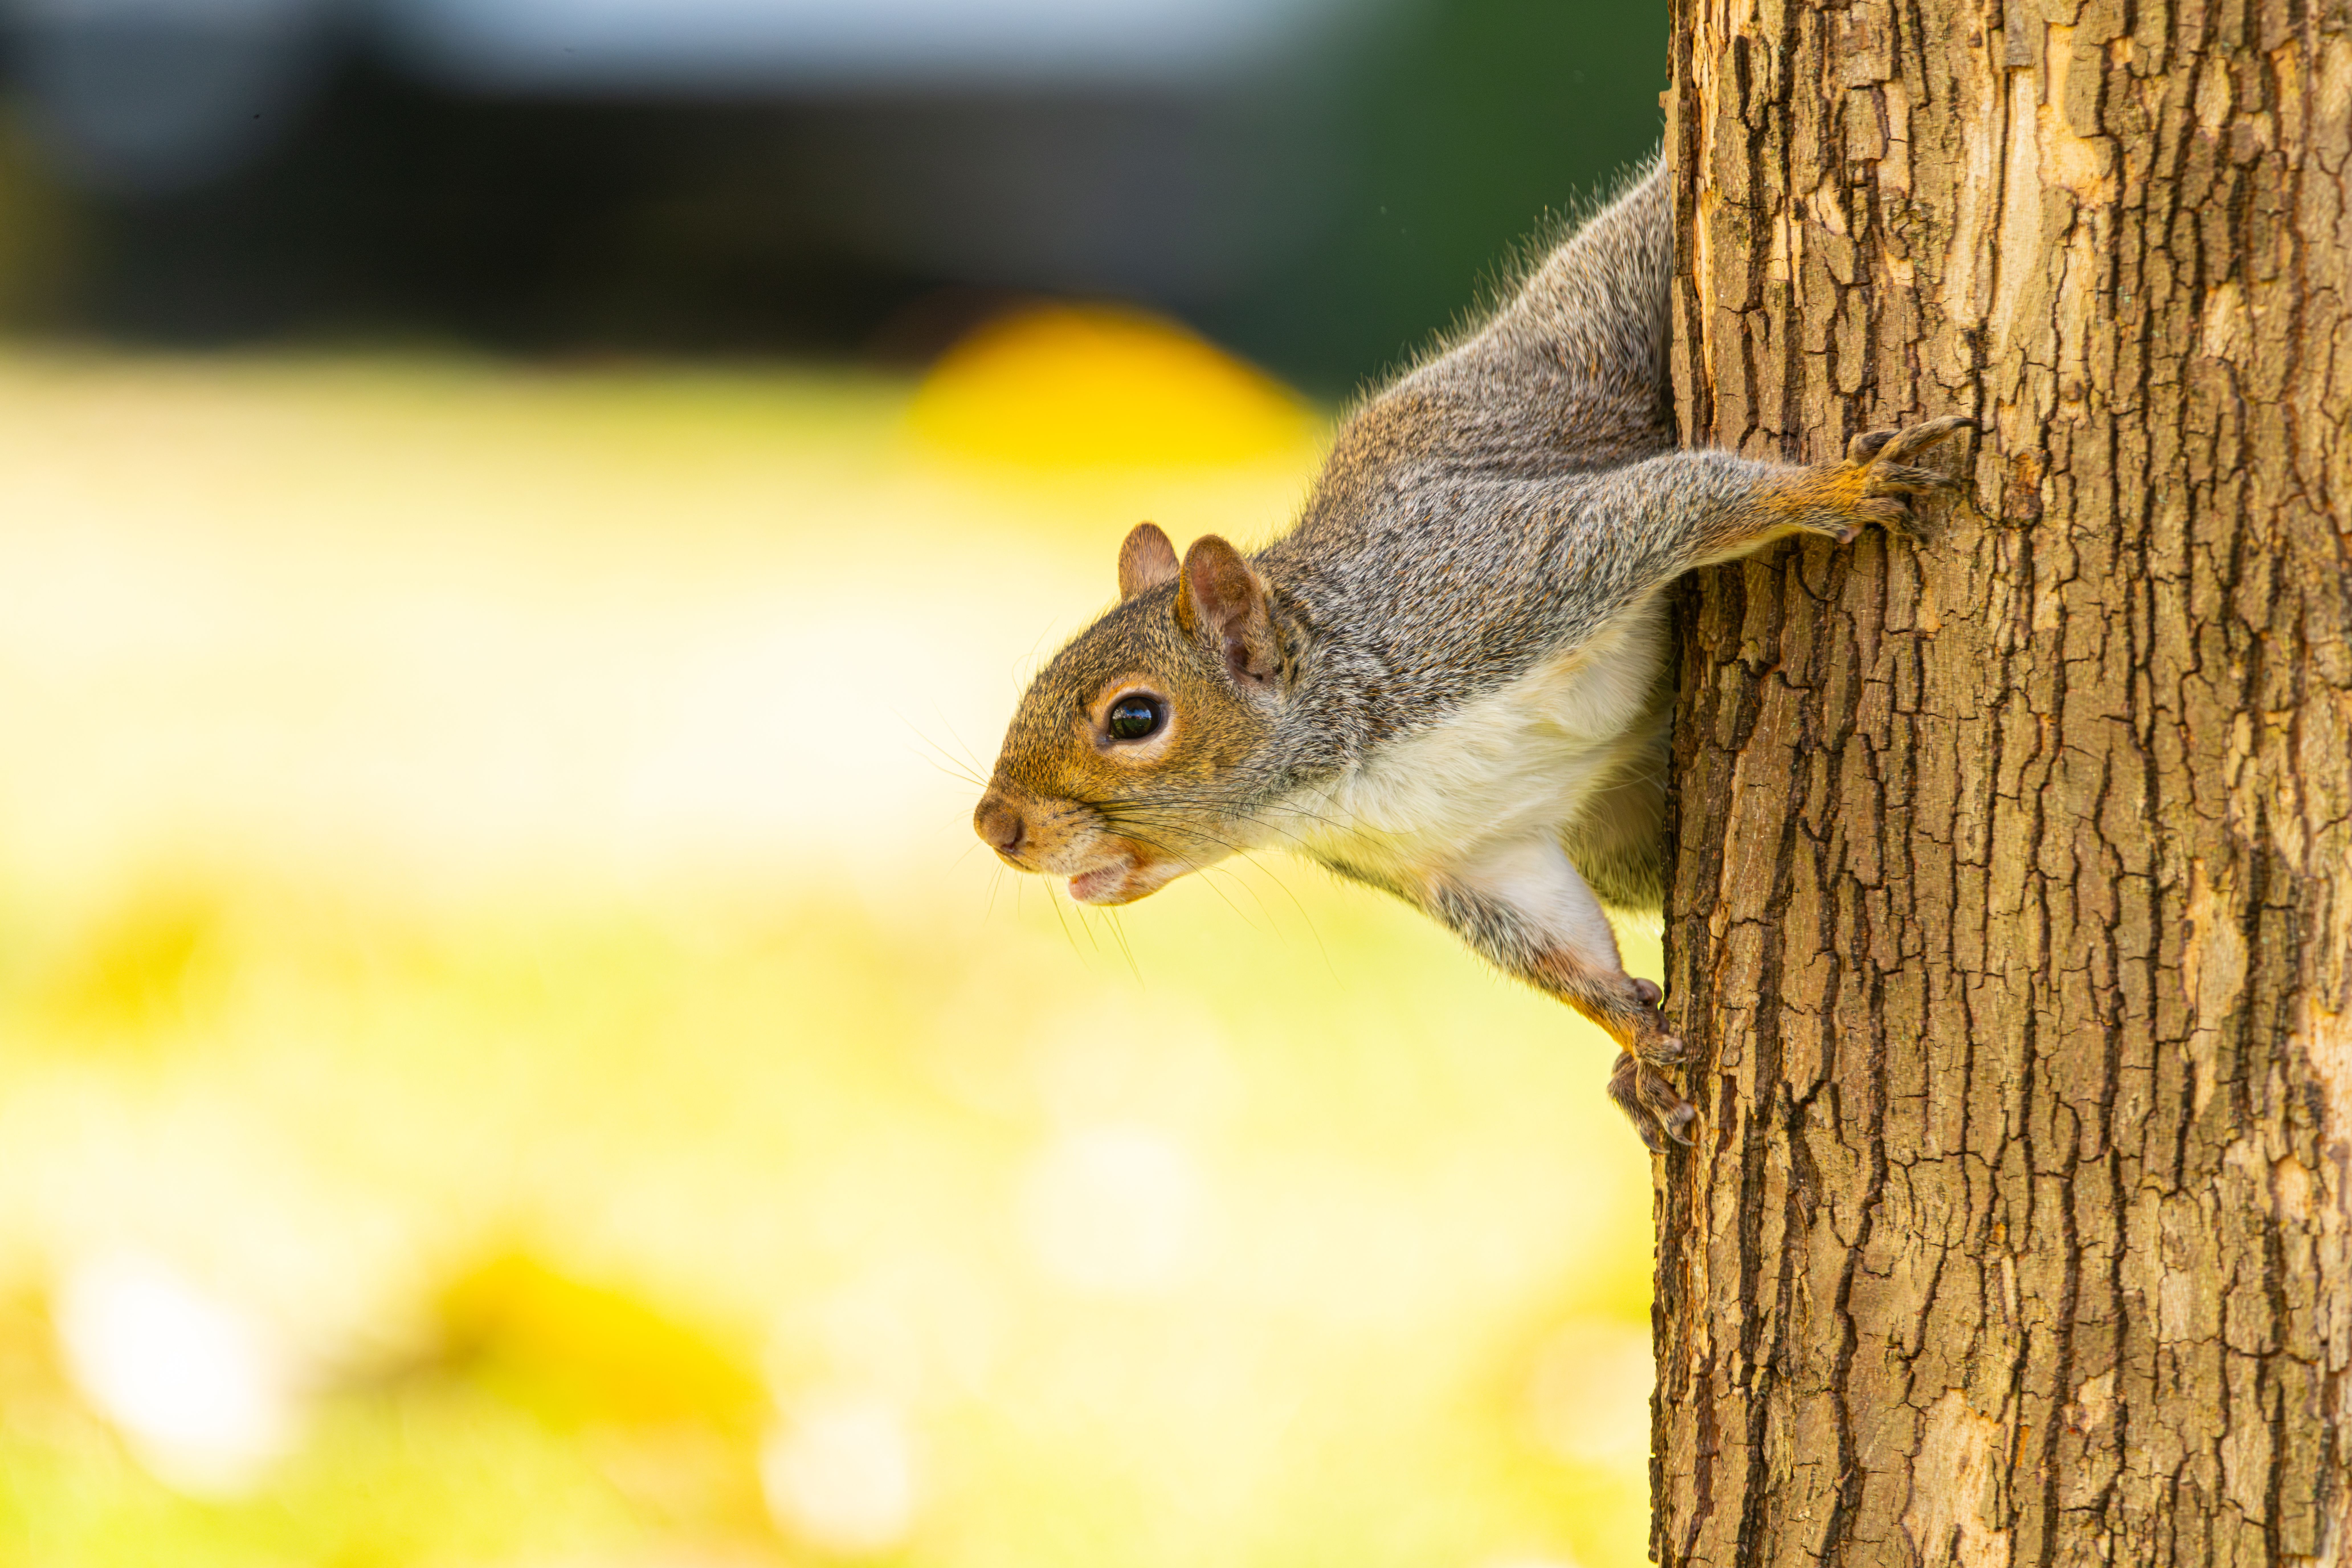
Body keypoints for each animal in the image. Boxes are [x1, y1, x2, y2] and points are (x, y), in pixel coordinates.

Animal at [970, 154, 1973, 1151]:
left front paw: (1837, 487)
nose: (994, 827)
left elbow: (1681, 502)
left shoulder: (1502, 582)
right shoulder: (1471, 857)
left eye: (1135, 717)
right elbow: (1555, 949)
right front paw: (1635, 1037)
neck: (1343, 778)